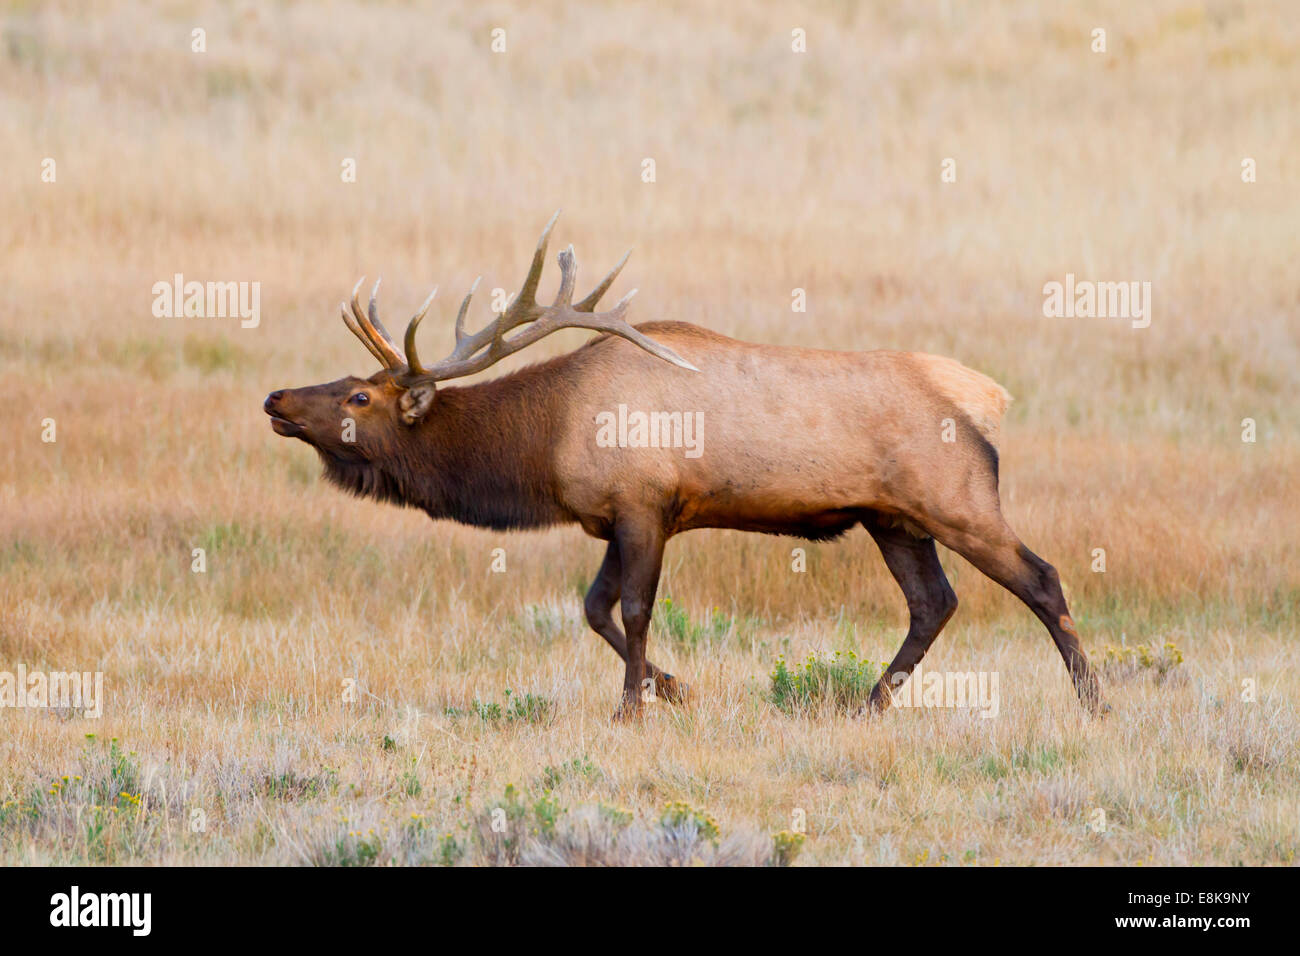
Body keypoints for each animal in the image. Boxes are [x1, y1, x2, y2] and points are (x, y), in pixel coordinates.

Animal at [264, 213, 1106, 719]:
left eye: (360, 394)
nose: (275, 397)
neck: (544, 441)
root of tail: (986, 398)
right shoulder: (612, 518)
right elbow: (594, 608)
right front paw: (673, 687)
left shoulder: (647, 505)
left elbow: (634, 609)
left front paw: (631, 707)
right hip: (893, 519)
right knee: (934, 603)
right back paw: (866, 703)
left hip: (958, 500)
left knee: (1041, 579)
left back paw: (1093, 699)